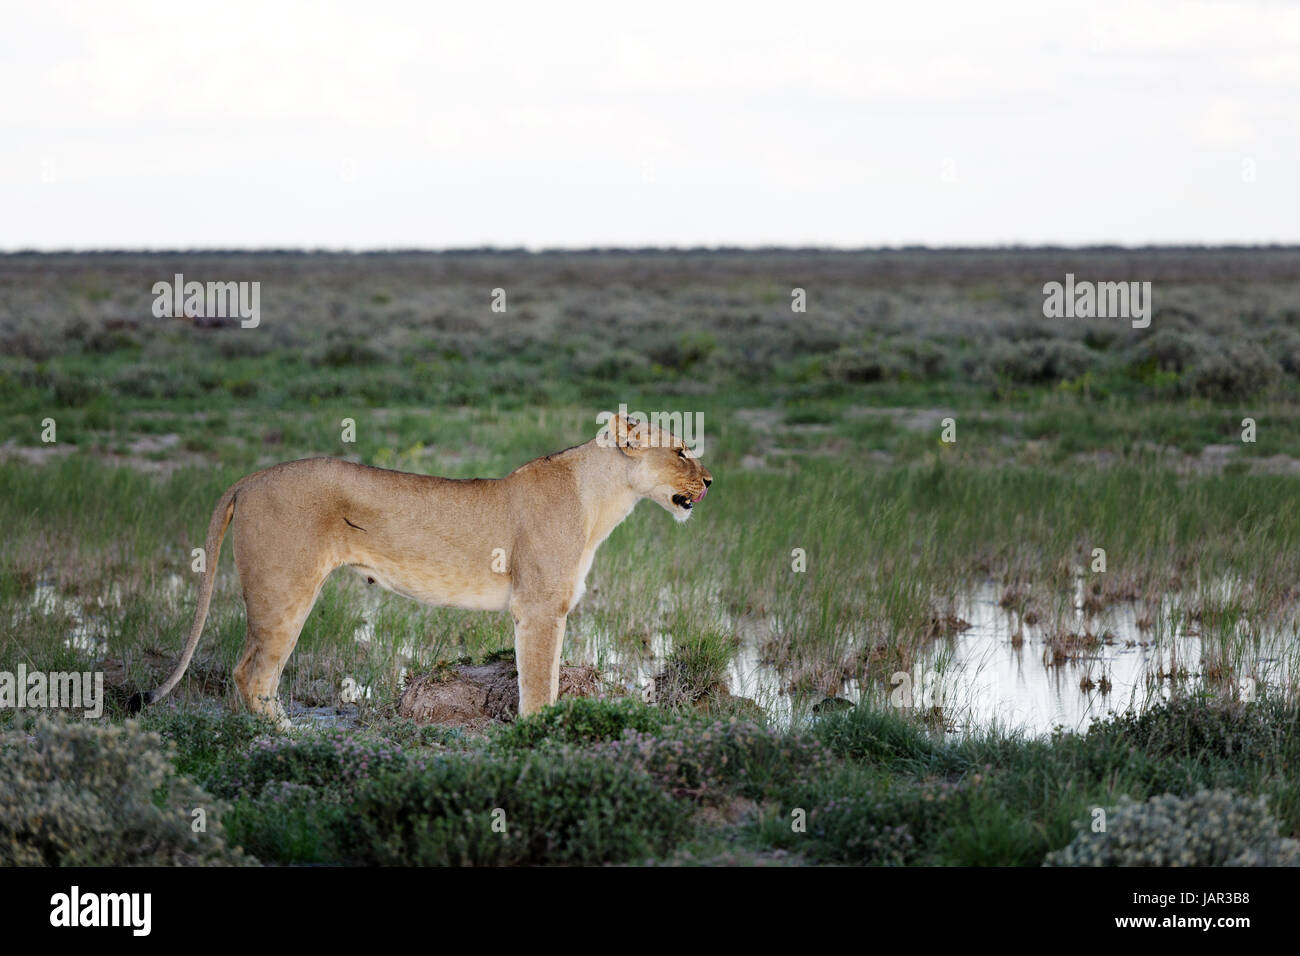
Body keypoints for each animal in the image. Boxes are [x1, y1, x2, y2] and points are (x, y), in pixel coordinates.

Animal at [132, 412, 712, 728]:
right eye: (682, 450)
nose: (710, 482)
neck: (605, 500)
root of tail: (248, 478)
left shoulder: (547, 611)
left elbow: (543, 678)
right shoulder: (539, 608)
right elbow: (538, 683)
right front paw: (537, 737)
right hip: (284, 592)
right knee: (251, 674)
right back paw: (293, 738)